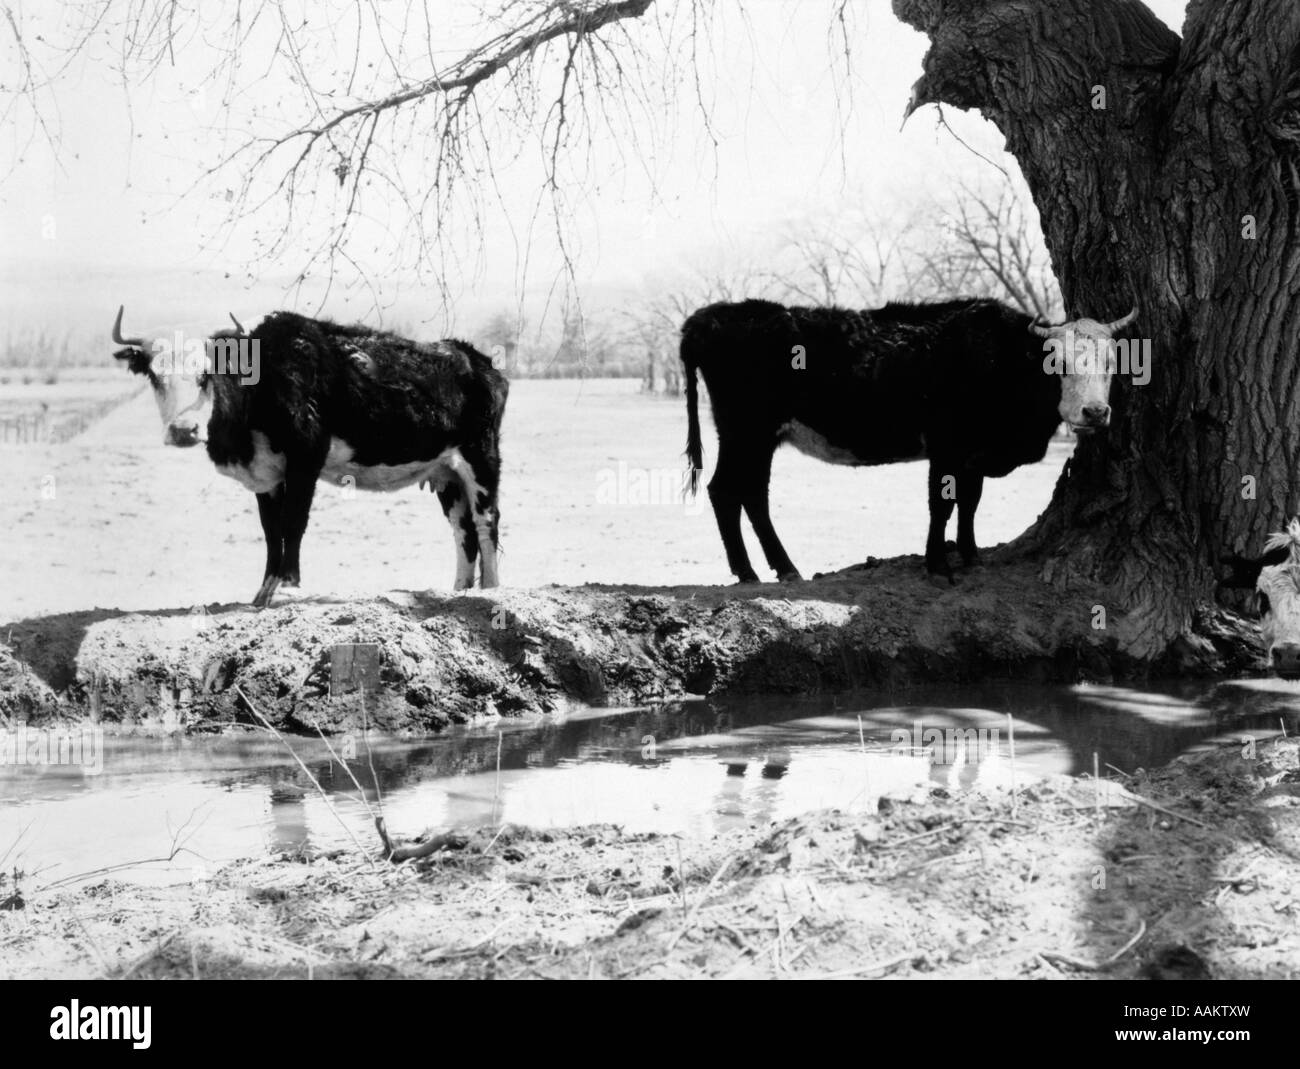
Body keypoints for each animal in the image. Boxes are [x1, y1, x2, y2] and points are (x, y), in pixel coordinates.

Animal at [112, 306, 508, 607]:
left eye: (206, 374)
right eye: (154, 375)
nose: (184, 430)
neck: (262, 380)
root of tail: (474, 358)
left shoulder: (306, 458)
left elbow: (293, 523)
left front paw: (289, 585)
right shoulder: (266, 475)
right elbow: (271, 530)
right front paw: (264, 591)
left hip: (481, 457)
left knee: (486, 521)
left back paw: (490, 590)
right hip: (445, 472)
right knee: (462, 529)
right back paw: (458, 592)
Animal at [681, 297, 1139, 583]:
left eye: (1111, 361)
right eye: (1056, 362)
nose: (1095, 412)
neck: (999, 357)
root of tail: (709, 317)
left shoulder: (972, 455)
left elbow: (969, 503)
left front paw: (971, 557)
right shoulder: (946, 447)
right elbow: (942, 505)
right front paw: (937, 565)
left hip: (755, 438)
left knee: (748, 495)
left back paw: (776, 568)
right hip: (745, 433)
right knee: (729, 491)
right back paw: (752, 571)